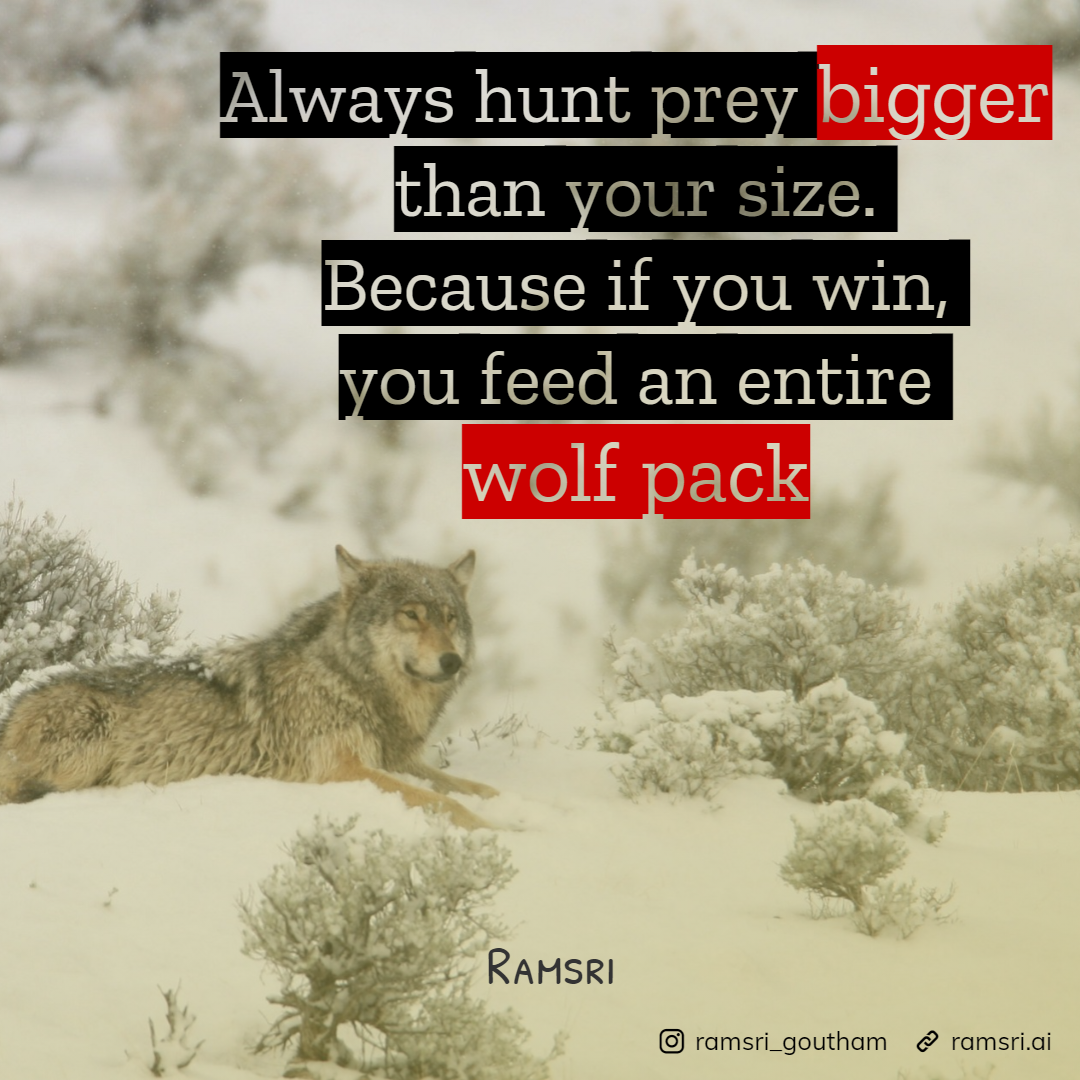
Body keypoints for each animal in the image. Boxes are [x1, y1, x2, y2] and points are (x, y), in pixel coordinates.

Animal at [0, 546, 497, 829]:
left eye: (449, 618)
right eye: (411, 615)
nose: (452, 661)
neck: (348, 680)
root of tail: (13, 711)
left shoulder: (398, 760)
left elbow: (474, 789)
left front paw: (508, 808)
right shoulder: (340, 768)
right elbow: (444, 803)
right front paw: (498, 831)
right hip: (92, 737)